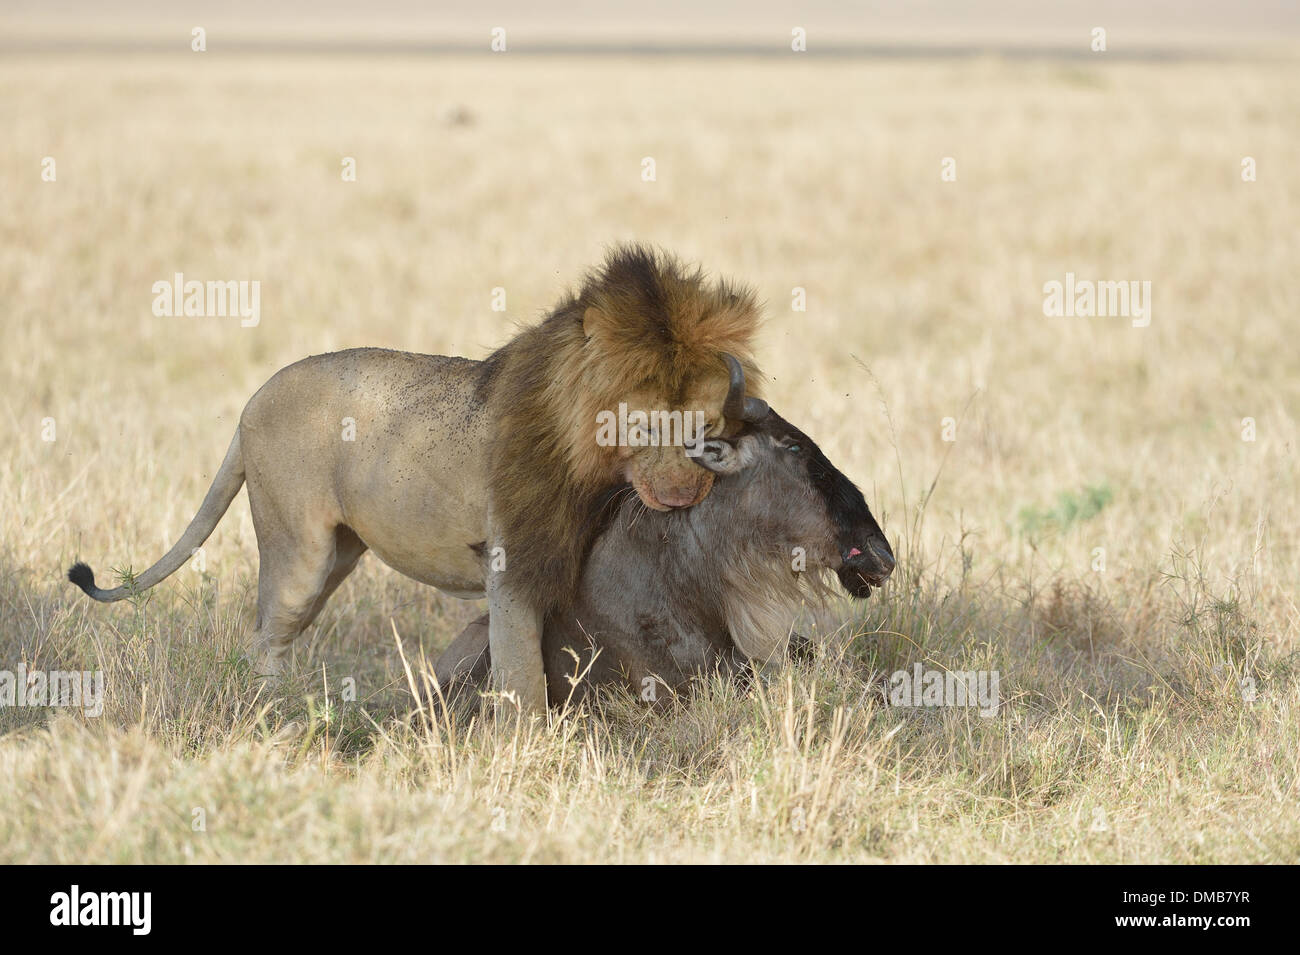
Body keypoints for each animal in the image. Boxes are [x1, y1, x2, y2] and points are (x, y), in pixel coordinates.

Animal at [67, 244, 763, 712]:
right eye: (640, 426)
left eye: (705, 431)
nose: (682, 495)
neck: (592, 469)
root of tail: (252, 402)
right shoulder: (509, 561)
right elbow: (521, 672)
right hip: (298, 549)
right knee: (265, 636)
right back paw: (277, 718)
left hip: (338, 556)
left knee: (276, 633)